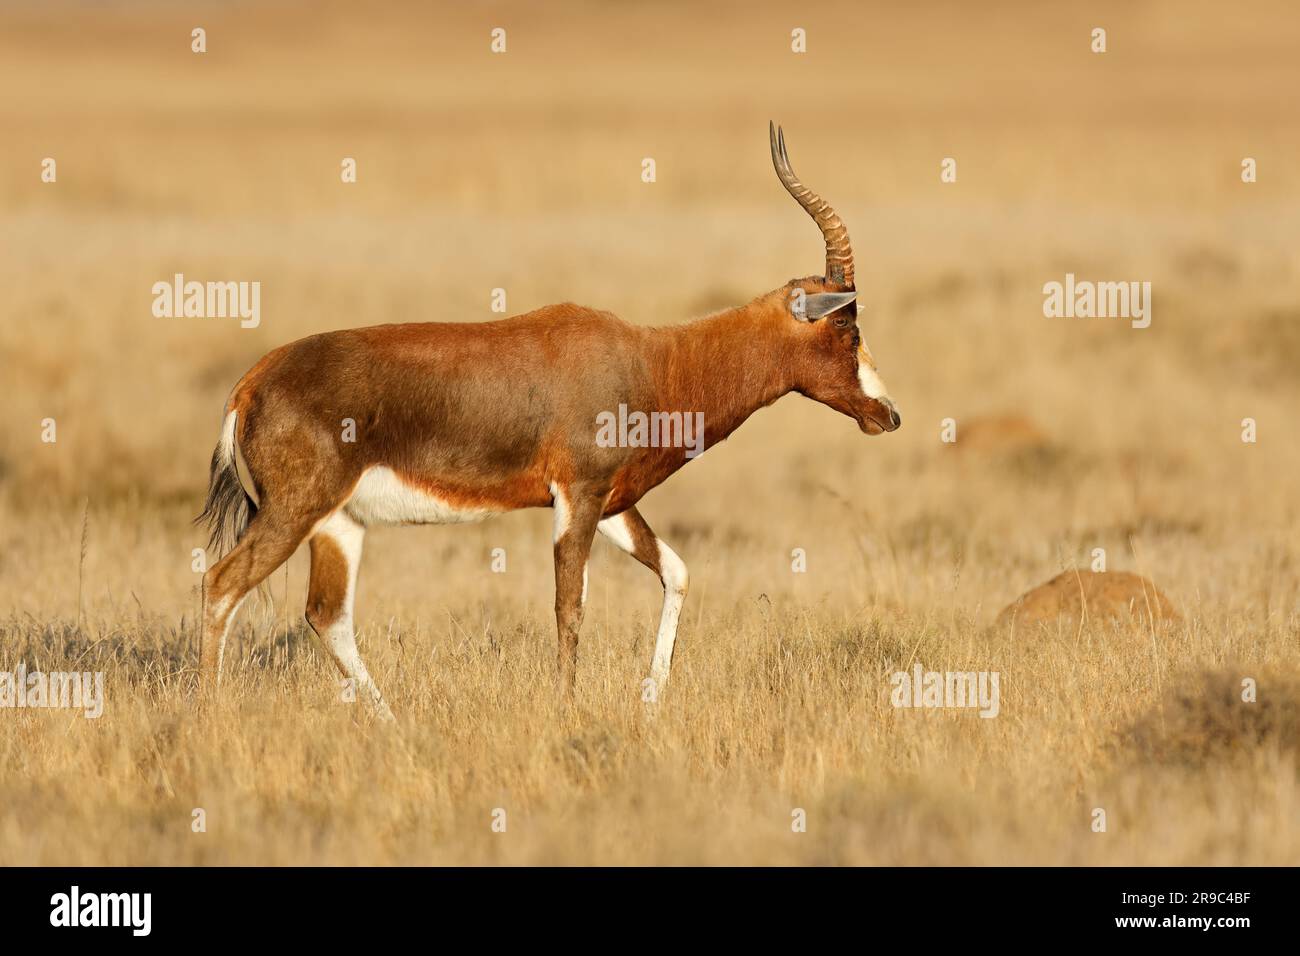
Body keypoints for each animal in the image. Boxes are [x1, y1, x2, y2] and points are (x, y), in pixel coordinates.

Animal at [197, 124, 901, 717]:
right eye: (847, 327)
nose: (888, 414)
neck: (652, 357)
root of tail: (250, 386)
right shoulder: (578, 497)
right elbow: (570, 606)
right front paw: (569, 710)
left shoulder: (611, 502)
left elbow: (676, 571)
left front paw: (651, 694)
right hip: (298, 510)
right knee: (222, 584)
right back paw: (210, 719)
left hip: (340, 523)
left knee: (326, 615)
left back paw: (391, 723)